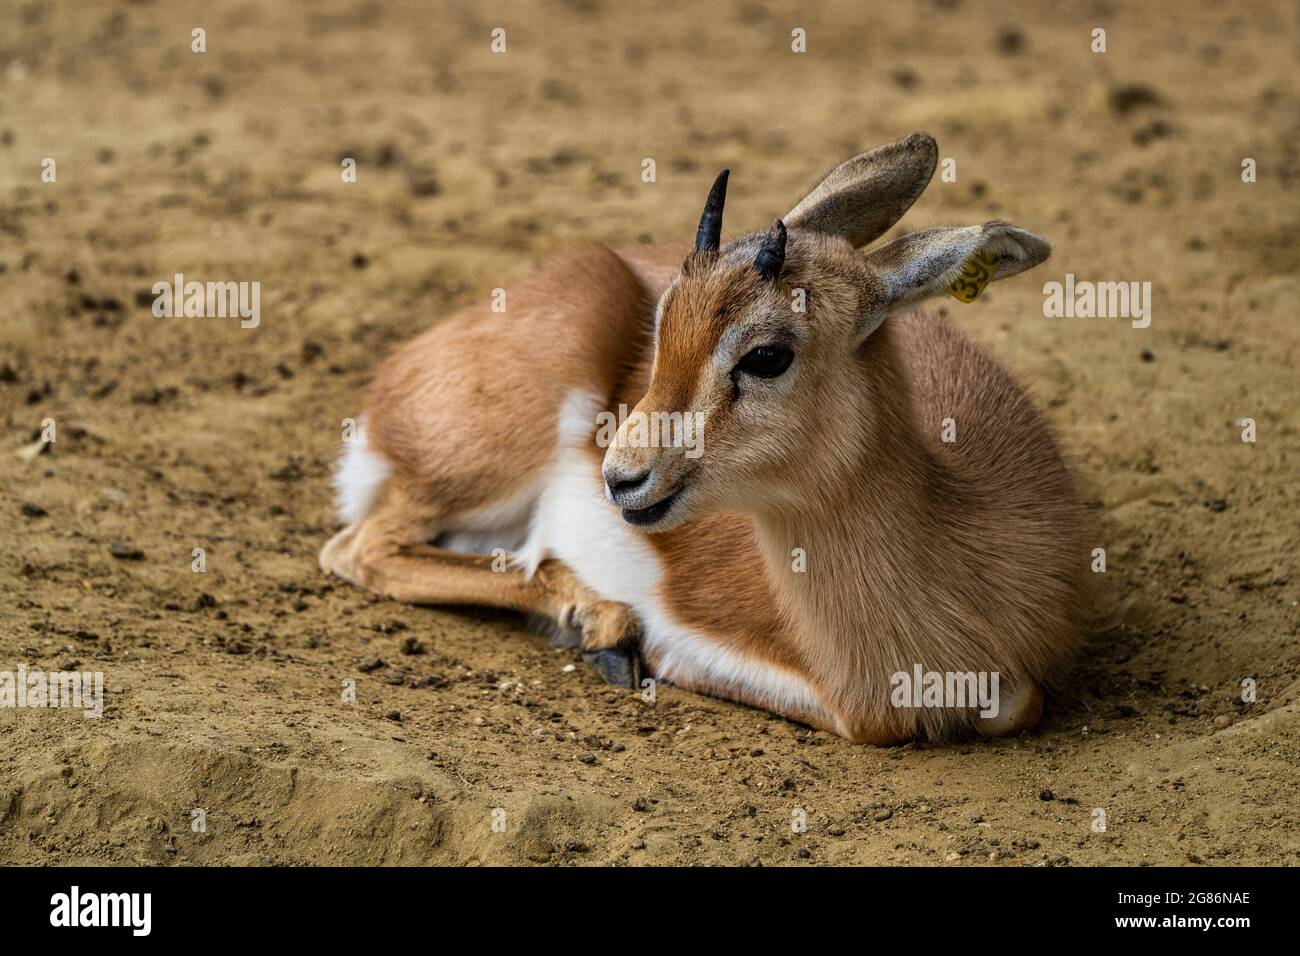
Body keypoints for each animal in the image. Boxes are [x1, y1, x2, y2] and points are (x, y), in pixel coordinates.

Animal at [320, 133, 1088, 744]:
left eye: (768, 355)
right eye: (663, 324)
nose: (621, 478)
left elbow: (1012, 704)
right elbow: (868, 720)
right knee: (359, 548)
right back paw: (603, 625)